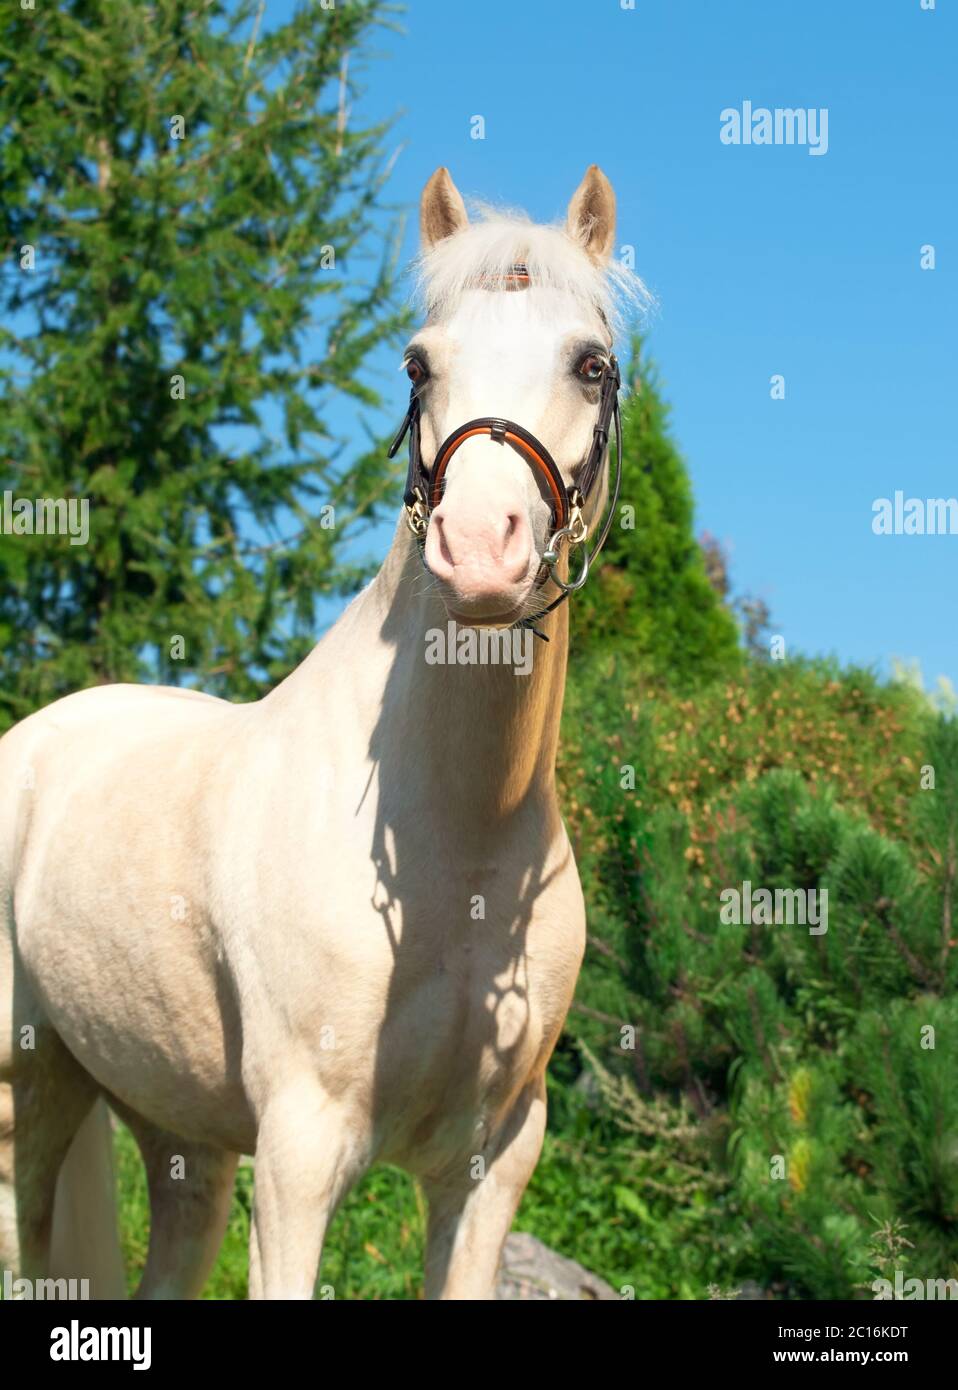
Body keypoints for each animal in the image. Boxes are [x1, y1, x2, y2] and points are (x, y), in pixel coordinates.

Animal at [0, 164, 639, 1299]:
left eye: (590, 363)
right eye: (419, 363)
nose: (479, 549)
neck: (458, 849)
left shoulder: (490, 1165)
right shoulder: (302, 1153)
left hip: (170, 1128)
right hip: (24, 1093)